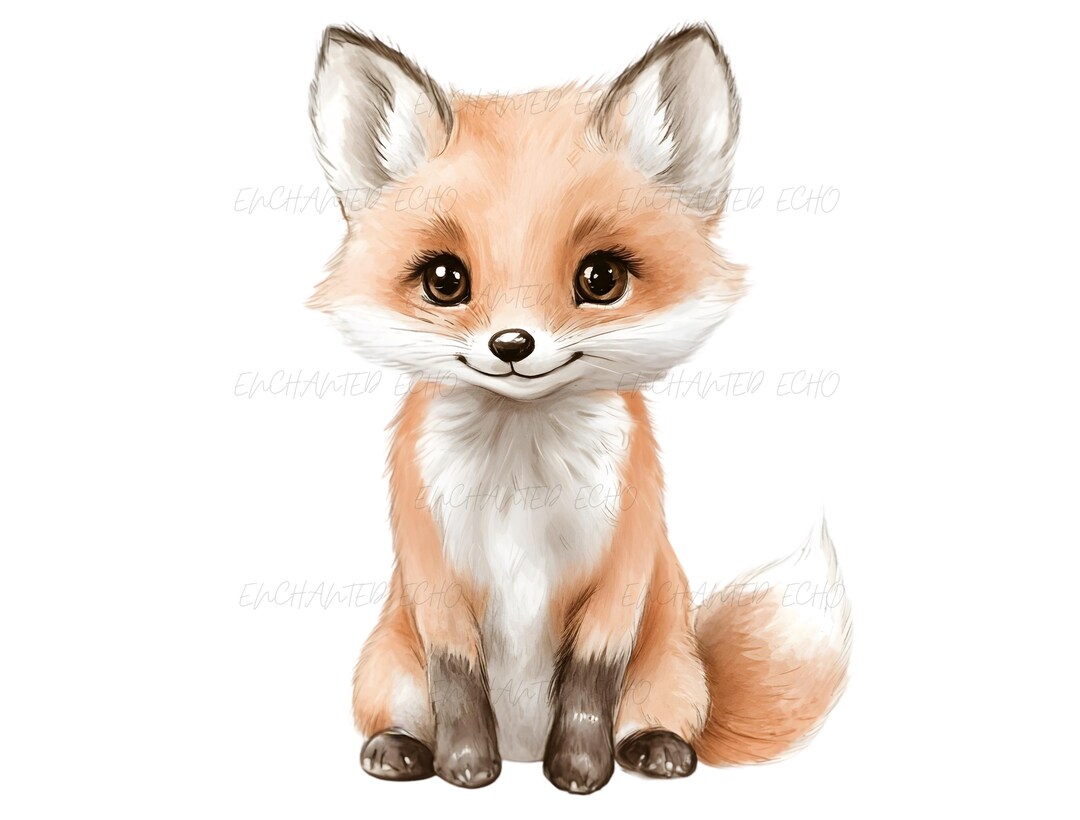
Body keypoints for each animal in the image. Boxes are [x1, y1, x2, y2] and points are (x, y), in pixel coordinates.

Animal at [307, 23, 852, 793]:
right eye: (445, 279)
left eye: (601, 278)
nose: (511, 344)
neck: (520, 485)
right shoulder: (431, 570)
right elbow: (458, 680)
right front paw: (467, 768)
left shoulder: (624, 565)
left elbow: (591, 687)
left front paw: (580, 772)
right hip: (385, 666)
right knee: (404, 711)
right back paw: (401, 751)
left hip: (670, 673)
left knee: (661, 717)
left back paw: (657, 750)